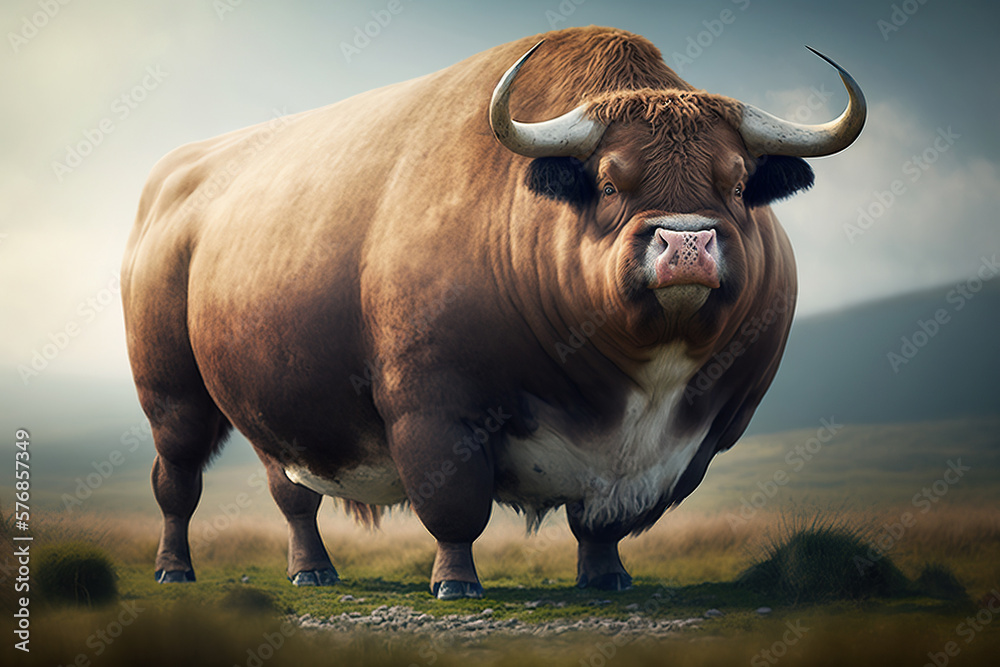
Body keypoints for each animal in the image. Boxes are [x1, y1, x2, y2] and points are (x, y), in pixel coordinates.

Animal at [121, 27, 865, 599]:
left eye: (737, 181)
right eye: (608, 181)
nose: (686, 245)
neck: (638, 386)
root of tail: (172, 183)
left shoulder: (700, 433)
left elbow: (603, 524)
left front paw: (605, 578)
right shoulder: (433, 409)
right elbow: (455, 507)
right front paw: (455, 582)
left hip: (276, 409)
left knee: (293, 493)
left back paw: (314, 569)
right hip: (173, 397)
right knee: (175, 482)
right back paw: (175, 569)